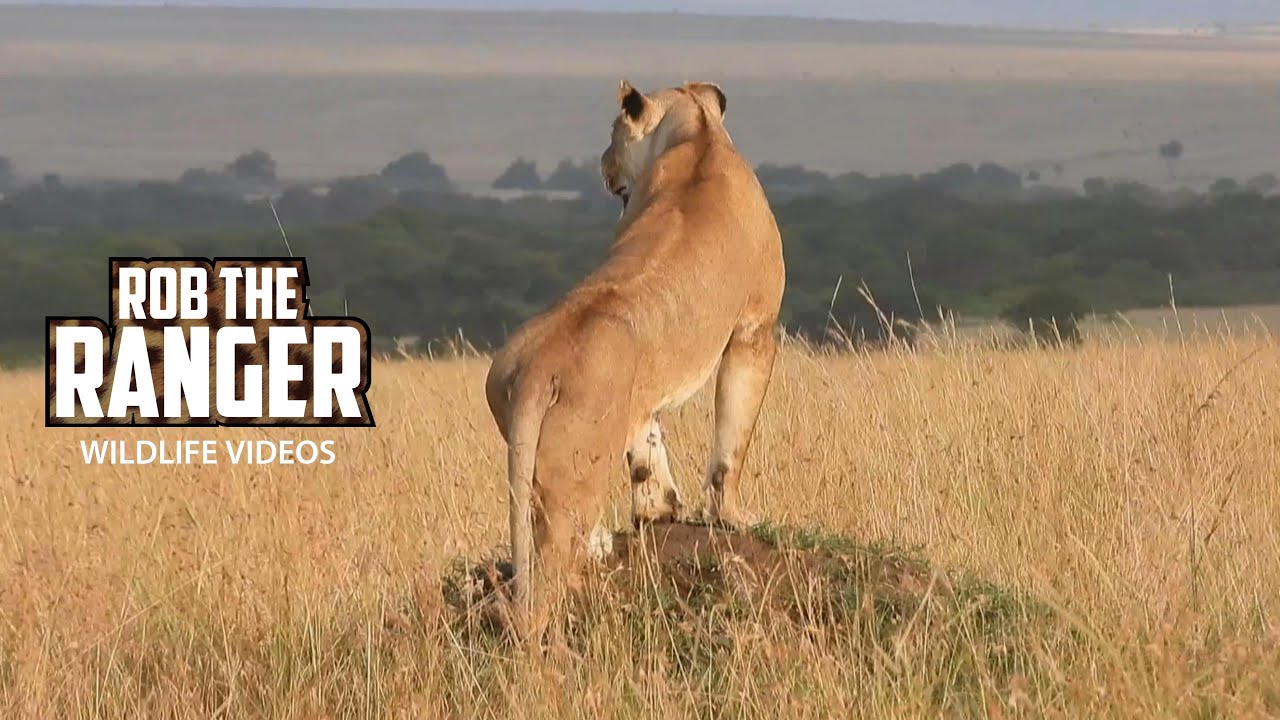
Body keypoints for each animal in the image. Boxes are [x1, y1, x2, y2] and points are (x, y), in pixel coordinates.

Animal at [485, 79, 785, 628]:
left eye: (613, 134)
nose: (602, 163)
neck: (698, 134)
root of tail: (540, 364)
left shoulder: (641, 394)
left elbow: (648, 447)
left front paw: (660, 510)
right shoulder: (755, 329)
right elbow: (732, 442)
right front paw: (732, 517)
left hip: (521, 434)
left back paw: (600, 544)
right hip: (577, 473)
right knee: (547, 577)